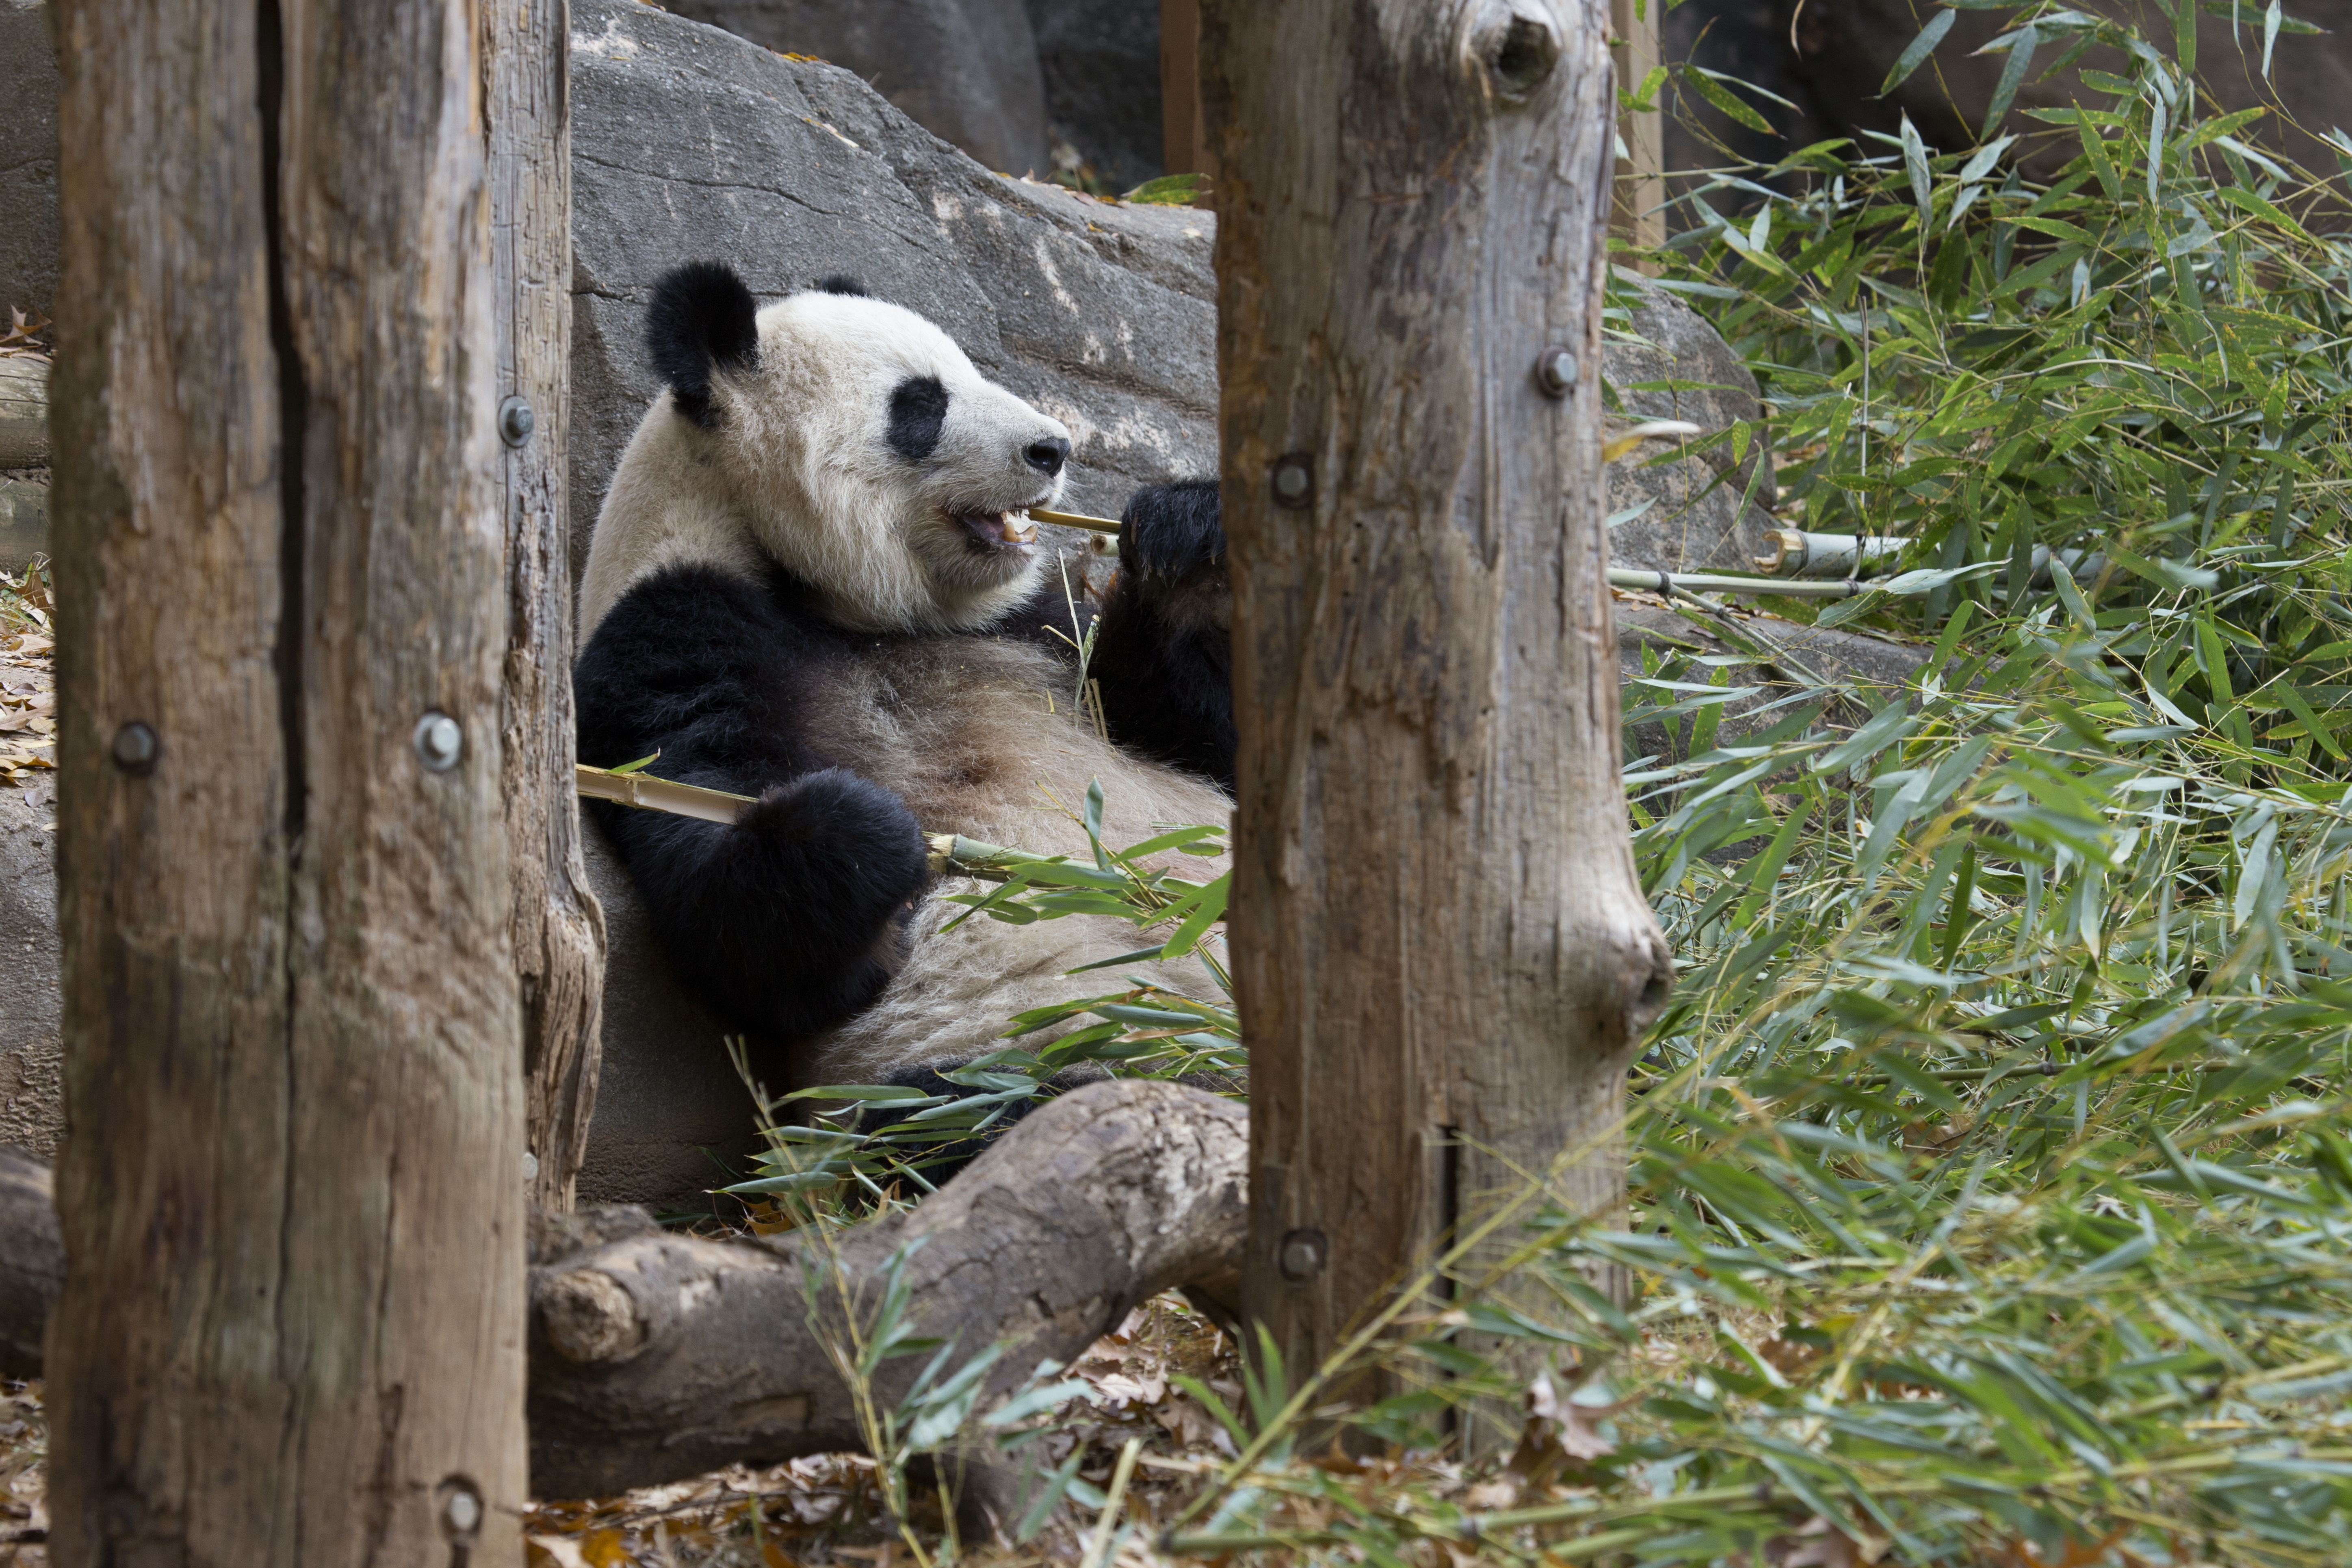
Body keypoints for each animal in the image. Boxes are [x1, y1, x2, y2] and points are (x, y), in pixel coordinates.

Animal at [573, 260, 1236, 1118]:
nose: (1051, 447)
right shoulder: (671, 635)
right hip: (989, 1062)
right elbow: (735, 909)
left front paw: (1187, 544)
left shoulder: (1030, 625)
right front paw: (868, 828)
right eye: (921, 404)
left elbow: (1187, 729)